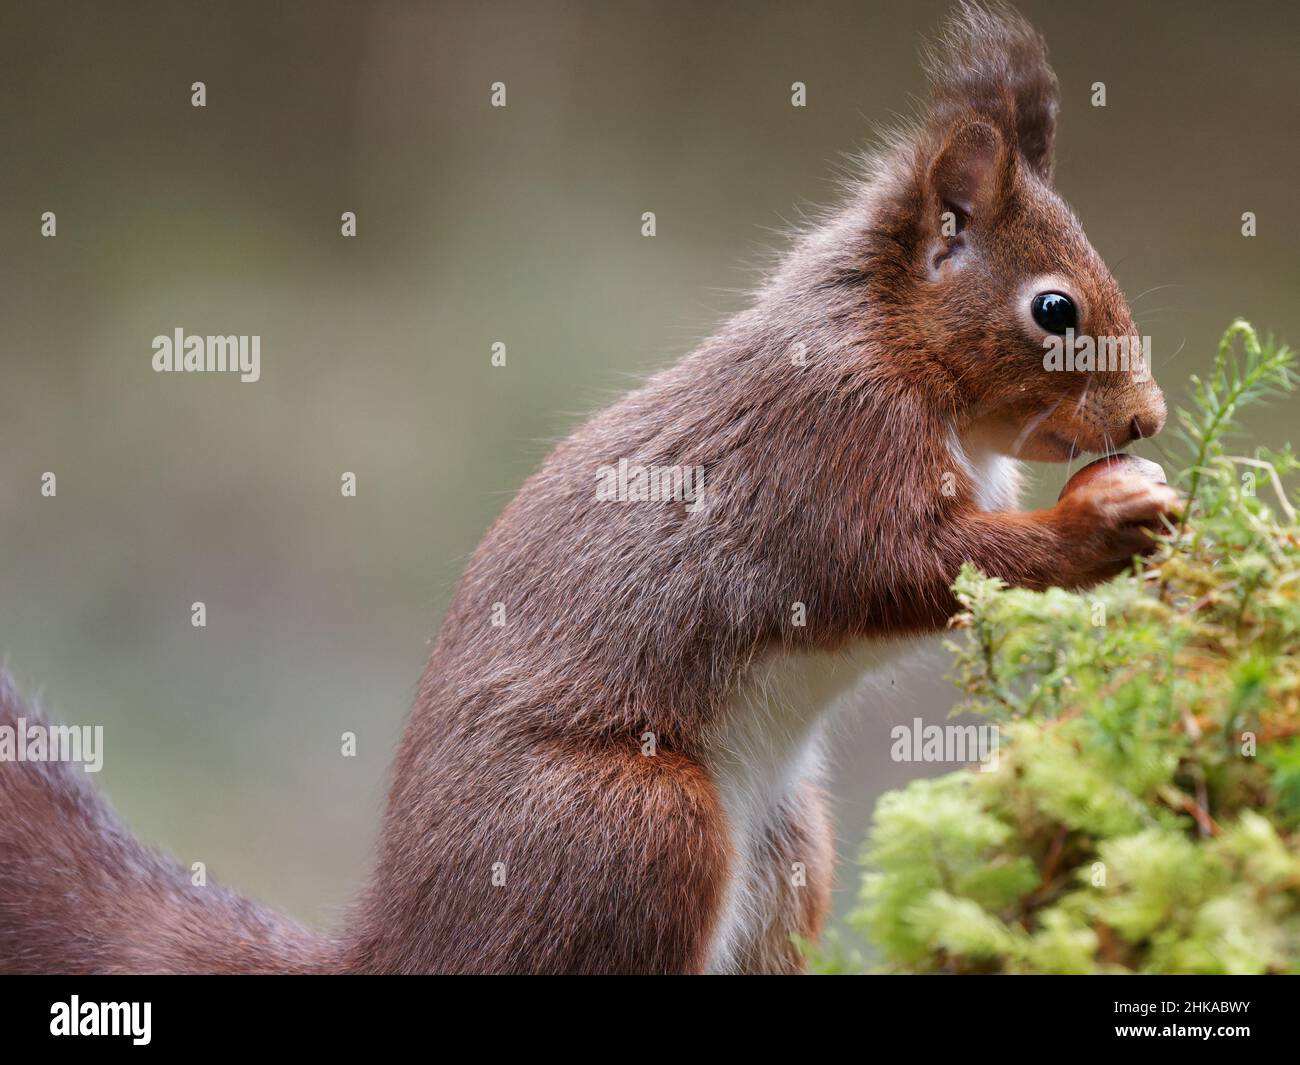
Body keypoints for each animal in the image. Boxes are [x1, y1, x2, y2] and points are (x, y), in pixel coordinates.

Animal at [0, 2, 1178, 975]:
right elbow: (901, 564)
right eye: (1054, 311)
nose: (1146, 419)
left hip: (787, 845)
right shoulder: (827, 445)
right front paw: (1103, 520)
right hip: (637, 823)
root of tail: (404, 948)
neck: (897, 348)